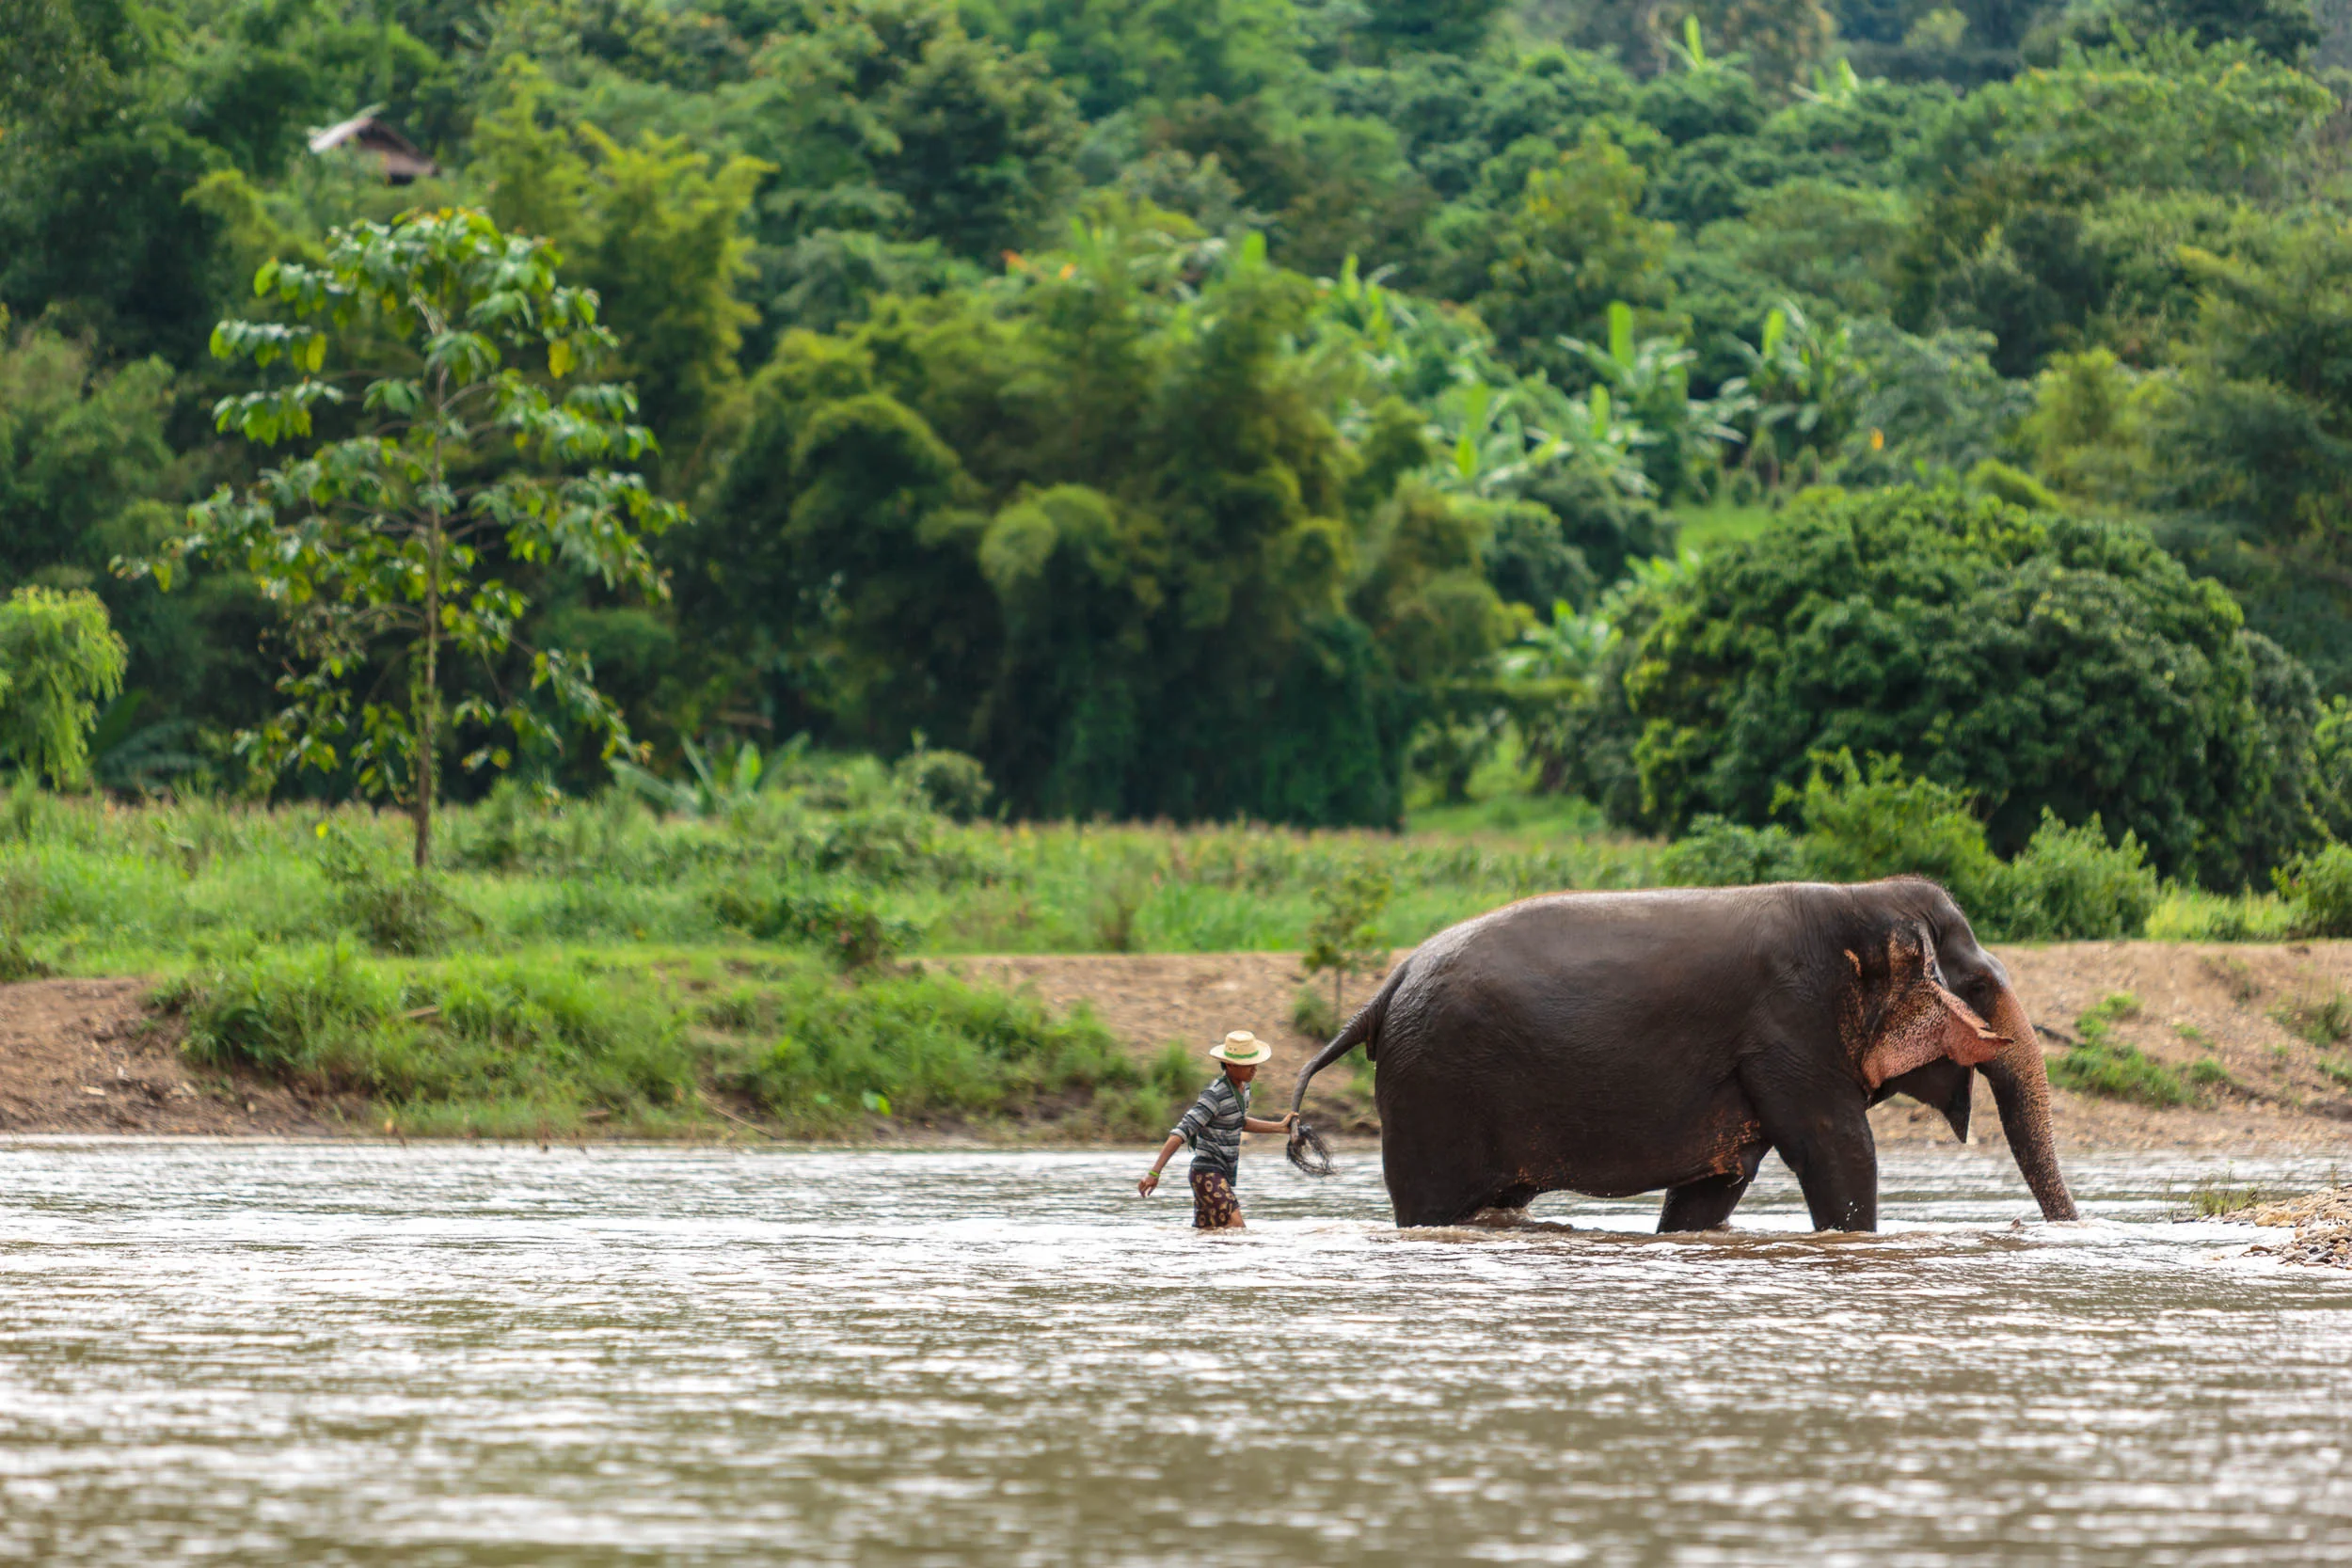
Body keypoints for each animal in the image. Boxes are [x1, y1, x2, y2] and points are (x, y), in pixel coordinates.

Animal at [1287, 877, 2078, 1232]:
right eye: (1979, 986)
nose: (2055, 1228)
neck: (1859, 898)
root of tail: (1384, 989)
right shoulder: (1789, 1027)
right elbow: (1839, 1151)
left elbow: (1716, 1183)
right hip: (1433, 1089)